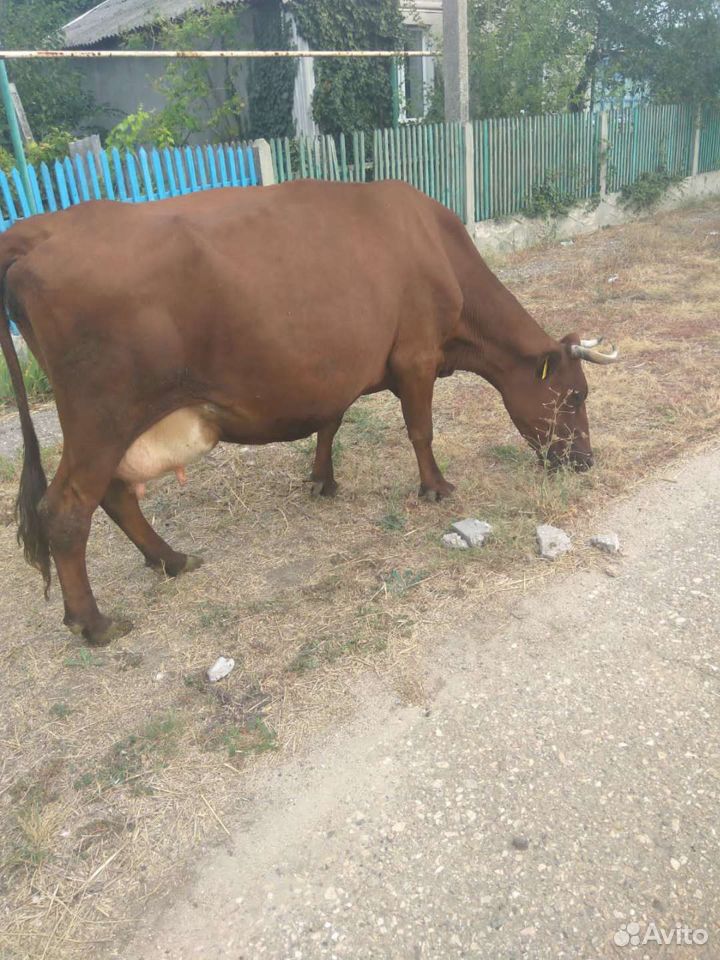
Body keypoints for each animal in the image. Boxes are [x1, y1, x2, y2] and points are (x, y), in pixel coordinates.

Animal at [0, 180, 618, 644]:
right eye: (577, 395)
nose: (586, 461)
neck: (435, 247)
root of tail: (41, 229)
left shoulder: (334, 369)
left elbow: (330, 423)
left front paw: (322, 480)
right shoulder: (417, 356)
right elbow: (420, 429)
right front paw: (435, 488)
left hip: (115, 424)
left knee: (114, 494)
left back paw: (170, 559)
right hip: (101, 414)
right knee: (66, 509)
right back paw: (94, 622)